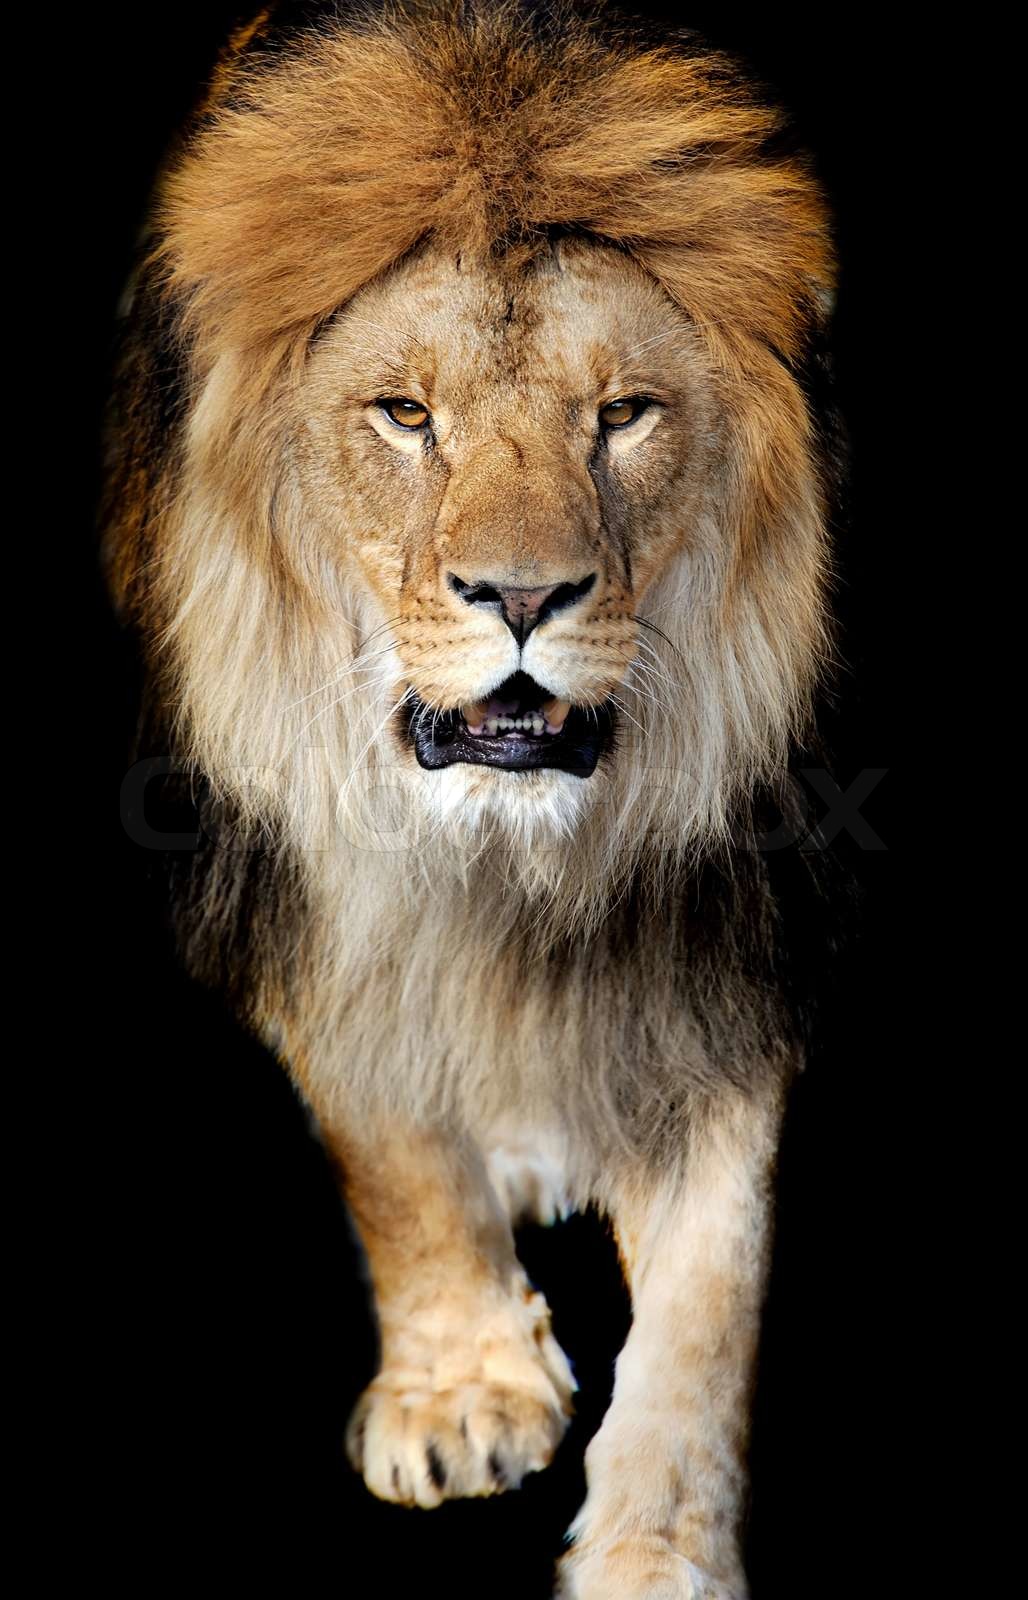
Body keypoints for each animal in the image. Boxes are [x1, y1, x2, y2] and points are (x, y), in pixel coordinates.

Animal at [101, 2, 843, 1594]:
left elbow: (711, 1290)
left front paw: (654, 1550)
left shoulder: (730, 944)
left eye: (622, 414)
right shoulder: (310, 893)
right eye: (403, 415)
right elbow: (387, 1148)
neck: (504, 858)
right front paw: (461, 1392)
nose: (520, 595)